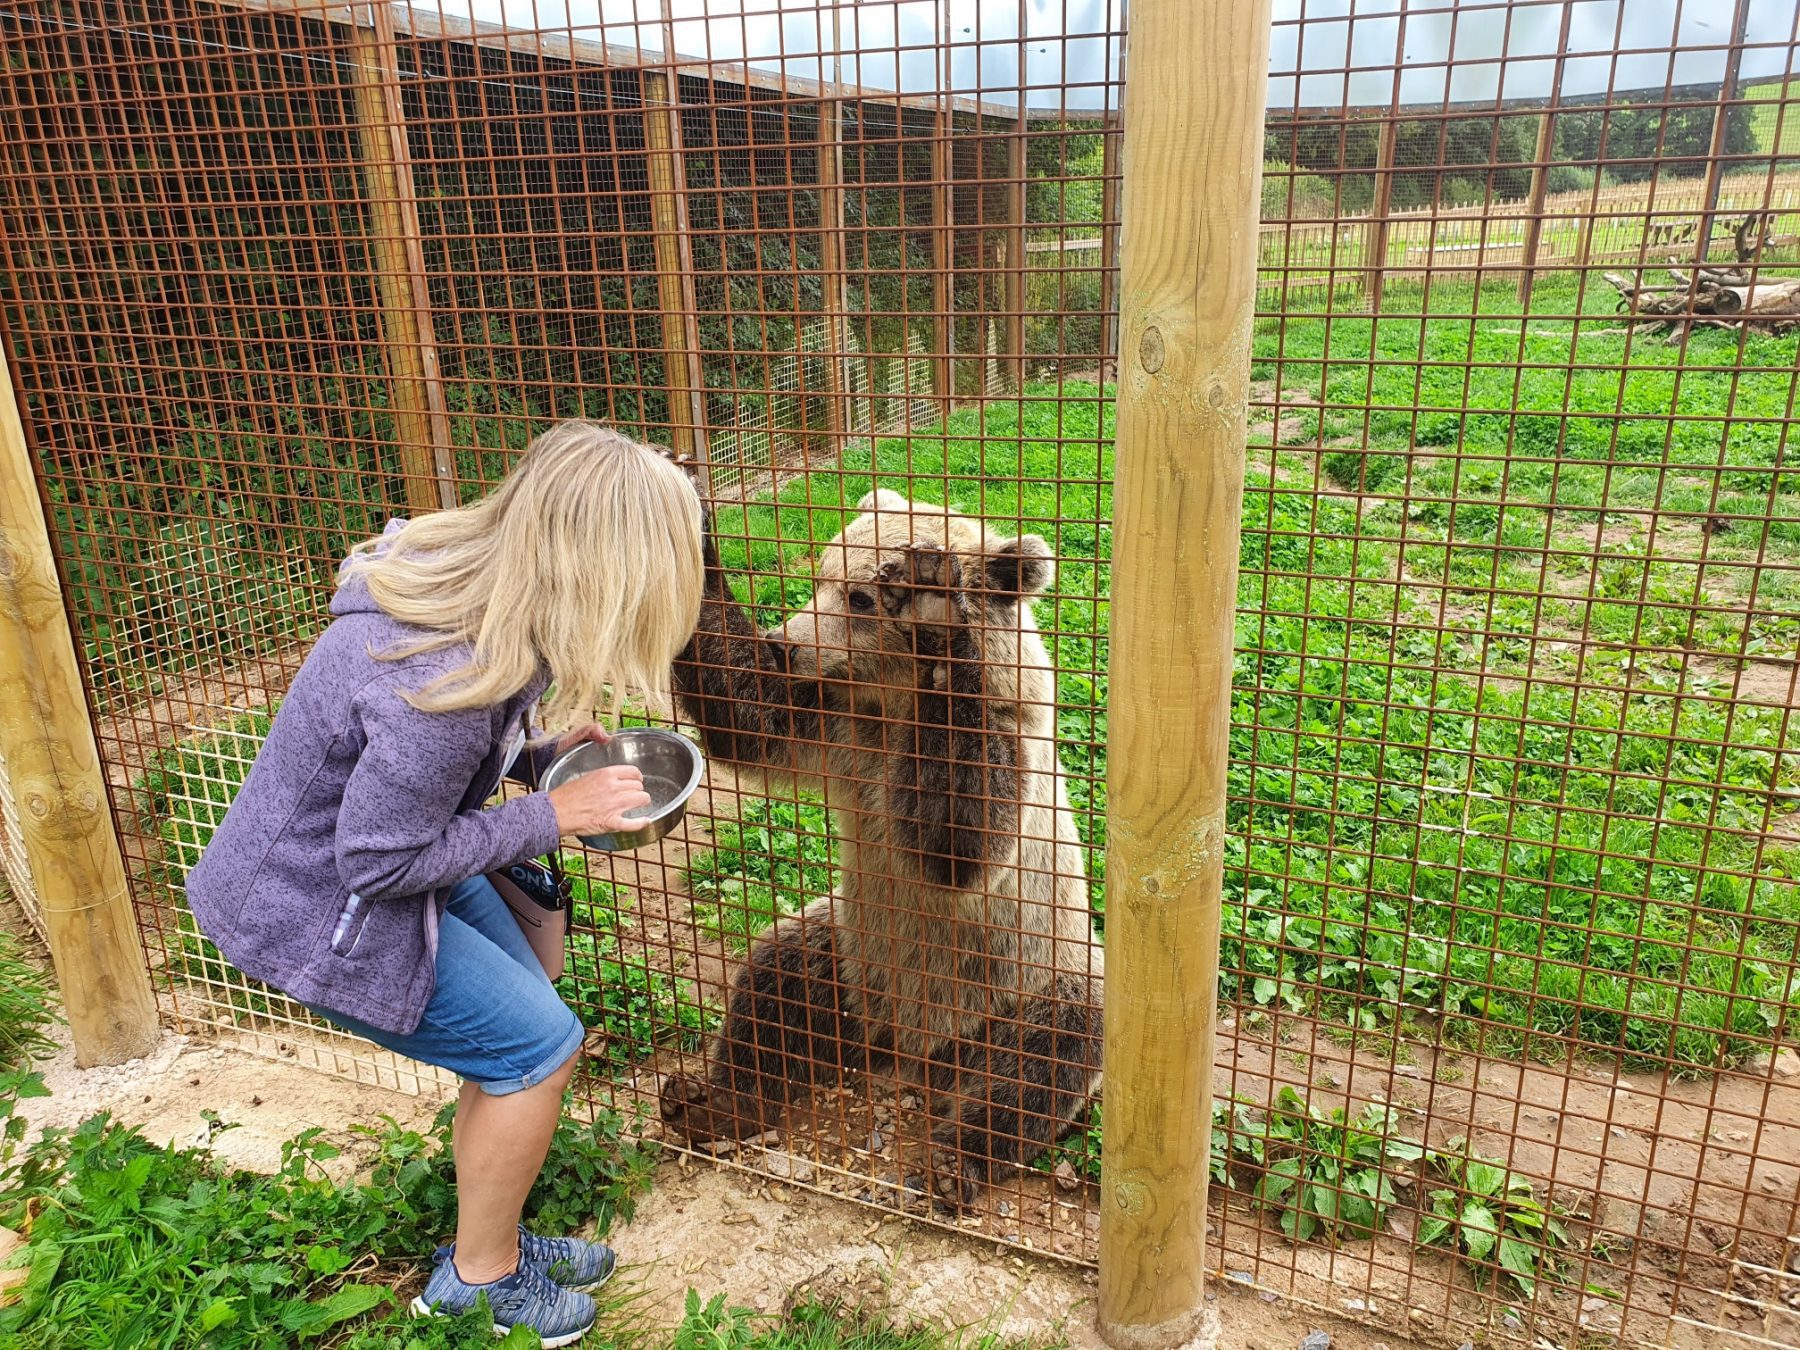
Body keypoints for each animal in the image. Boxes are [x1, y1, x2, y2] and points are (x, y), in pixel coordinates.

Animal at [660, 487, 1103, 1207]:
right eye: (822, 575)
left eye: (862, 597)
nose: (785, 644)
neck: (893, 708)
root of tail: (913, 1051)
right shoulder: (837, 726)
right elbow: (748, 712)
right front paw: (692, 516)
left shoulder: (1008, 748)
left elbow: (959, 842)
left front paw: (940, 611)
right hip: (854, 950)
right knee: (775, 985)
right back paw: (711, 1103)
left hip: (1023, 976)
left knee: (1041, 1063)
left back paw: (955, 1163)